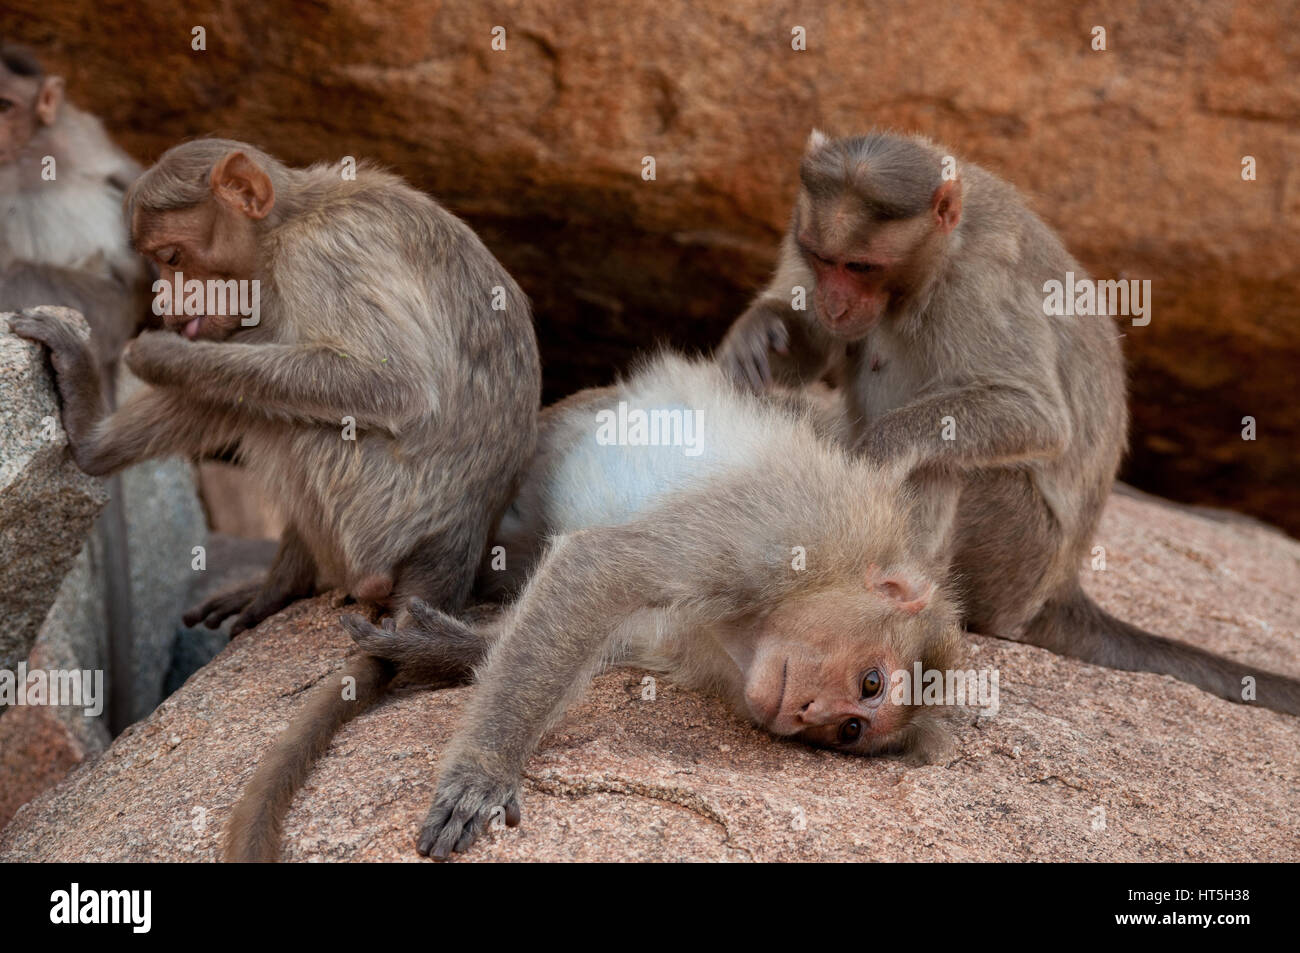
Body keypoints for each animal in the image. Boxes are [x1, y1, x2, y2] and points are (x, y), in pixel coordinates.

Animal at [9, 138, 541, 647]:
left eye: (172, 257)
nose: (165, 302)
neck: (290, 221)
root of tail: (456, 547)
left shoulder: (321, 253)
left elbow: (393, 386)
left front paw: (162, 356)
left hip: (378, 519)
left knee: (292, 410)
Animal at [231, 352, 963, 861]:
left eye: (849, 730)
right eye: (869, 683)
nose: (811, 713)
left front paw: (446, 651)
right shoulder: (787, 531)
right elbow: (605, 568)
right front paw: (483, 772)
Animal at [716, 129, 1300, 717]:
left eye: (860, 267)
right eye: (821, 258)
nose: (834, 305)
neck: (933, 263)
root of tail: (1058, 587)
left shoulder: (979, 282)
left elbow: (1035, 416)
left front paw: (873, 450)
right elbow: (812, 348)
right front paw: (760, 332)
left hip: (1017, 560)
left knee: (946, 463)